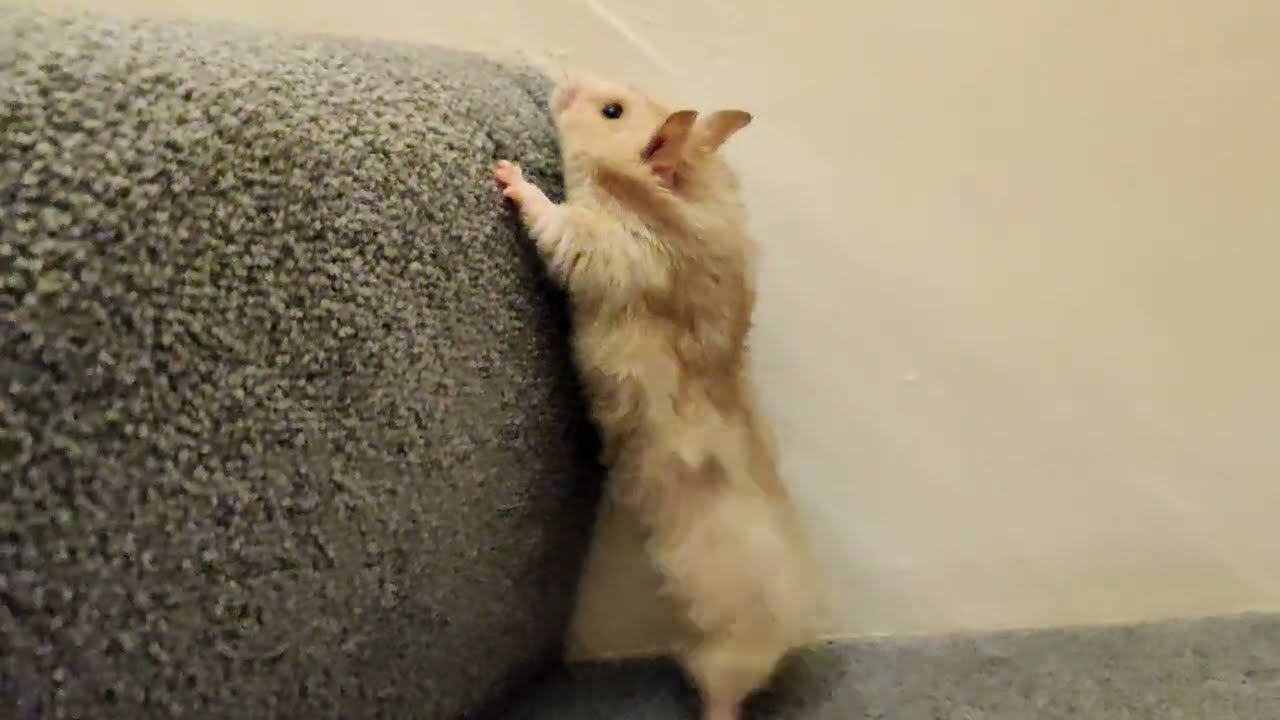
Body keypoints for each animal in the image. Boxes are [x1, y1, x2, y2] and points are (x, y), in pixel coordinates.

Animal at [493, 75, 825, 720]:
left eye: (611, 111)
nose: (560, 80)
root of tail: (783, 639)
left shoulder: (609, 249)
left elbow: (556, 222)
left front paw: (507, 173)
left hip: (726, 649)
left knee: (721, 694)